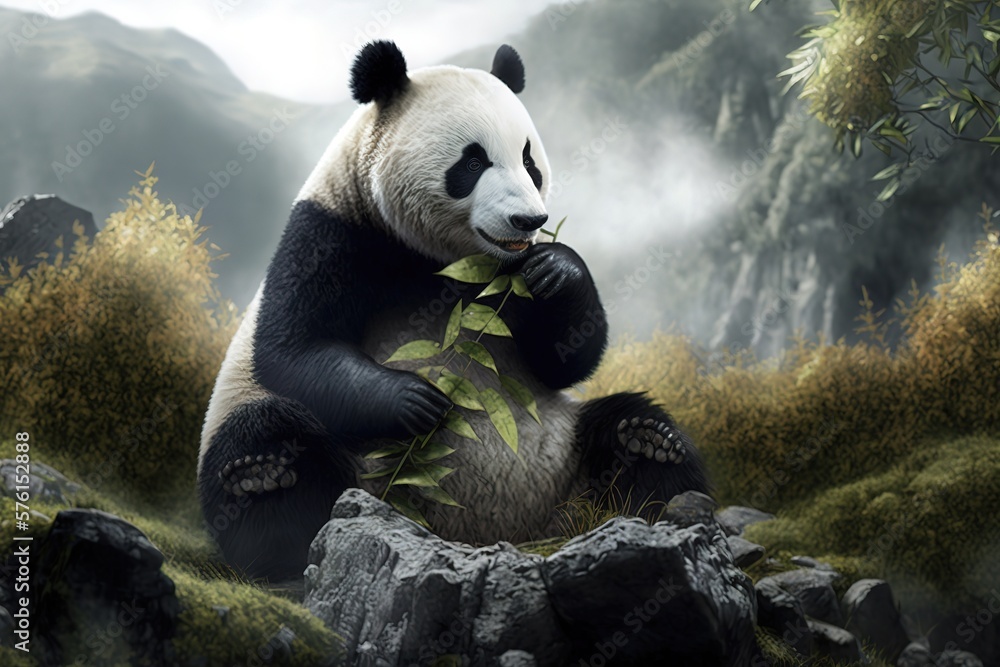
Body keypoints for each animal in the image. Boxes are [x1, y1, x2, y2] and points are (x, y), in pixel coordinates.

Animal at [197, 40, 710, 581]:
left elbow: (564, 359)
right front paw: (418, 401)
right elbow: (293, 349)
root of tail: (489, 531)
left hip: (563, 449)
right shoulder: (335, 230)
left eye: (529, 160)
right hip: (314, 446)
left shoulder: (506, 278)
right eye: (473, 162)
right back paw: (264, 487)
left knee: (622, 429)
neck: (443, 258)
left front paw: (558, 270)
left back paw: (649, 447)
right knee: (266, 434)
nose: (529, 220)